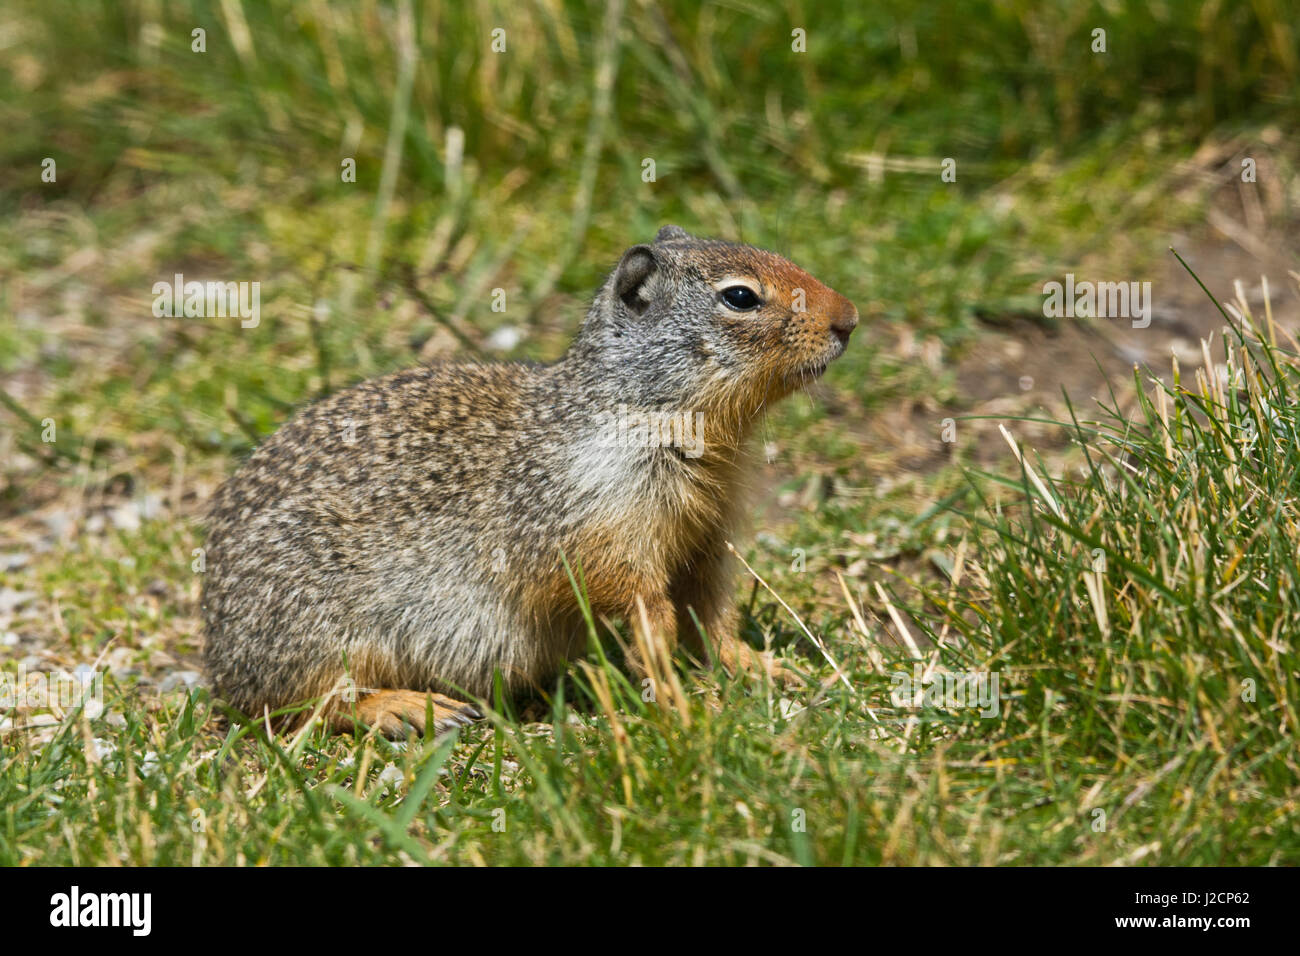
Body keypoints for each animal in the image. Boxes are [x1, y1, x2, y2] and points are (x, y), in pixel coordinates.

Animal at [201, 225, 858, 737]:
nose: (849, 318)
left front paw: (770, 668)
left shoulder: (708, 541)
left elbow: (713, 615)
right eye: (740, 296)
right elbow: (641, 607)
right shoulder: (598, 523)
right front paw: (674, 695)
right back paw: (411, 709)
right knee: (304, 704)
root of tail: (217, 652)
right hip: (312, 630)